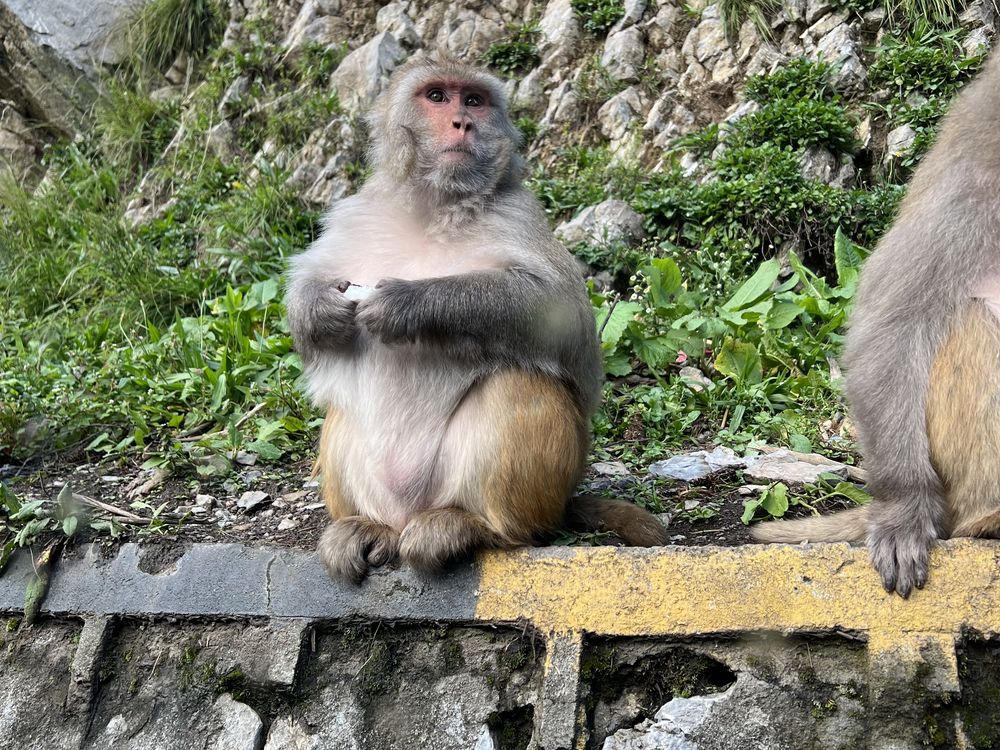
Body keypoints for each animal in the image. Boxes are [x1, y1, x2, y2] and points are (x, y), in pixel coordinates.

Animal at [285, 58, 668, 583]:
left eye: (474, 100)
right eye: (437, 97)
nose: (462, 123)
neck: (434, 207)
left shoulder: (520, 214)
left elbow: (557, 311)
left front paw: (409, 302)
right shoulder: (355, 213)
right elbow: (308, 294)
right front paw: (320, 308)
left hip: (540, 490)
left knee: (516, 382)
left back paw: (477, 528)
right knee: (341, 413)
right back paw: (367, 526)